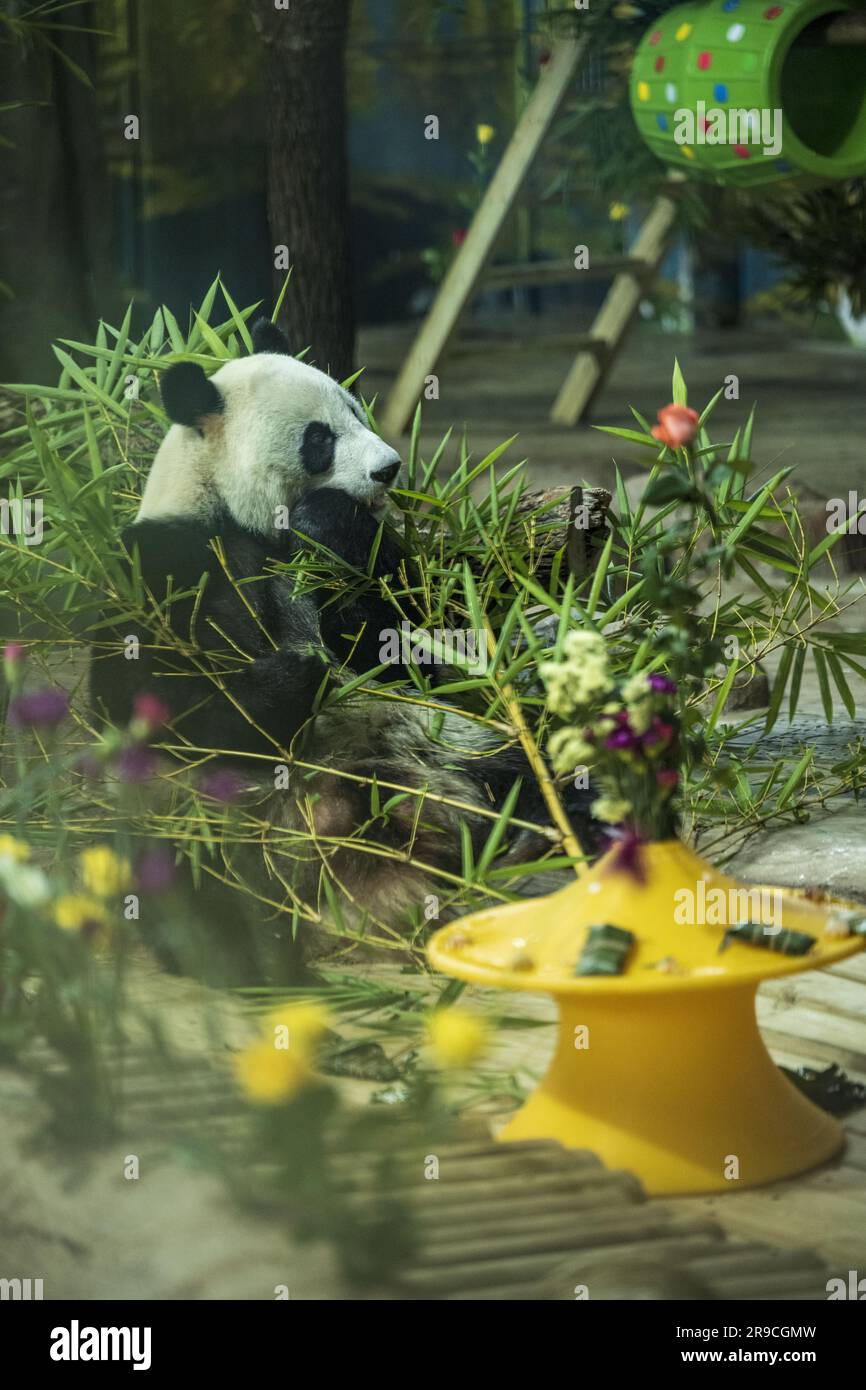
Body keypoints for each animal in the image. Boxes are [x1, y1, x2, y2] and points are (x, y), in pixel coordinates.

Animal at [90, 318, 595, 962]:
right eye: (318, 439)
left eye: (356, 409)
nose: (388, 469)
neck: (233, 511)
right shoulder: (163, 563)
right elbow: (145, 694)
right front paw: (295, 676)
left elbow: (410, 650)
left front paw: (325, 524)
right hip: (192, 817)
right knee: (186, 878)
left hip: (445, 745)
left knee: (530, 771)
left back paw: (552, 840)